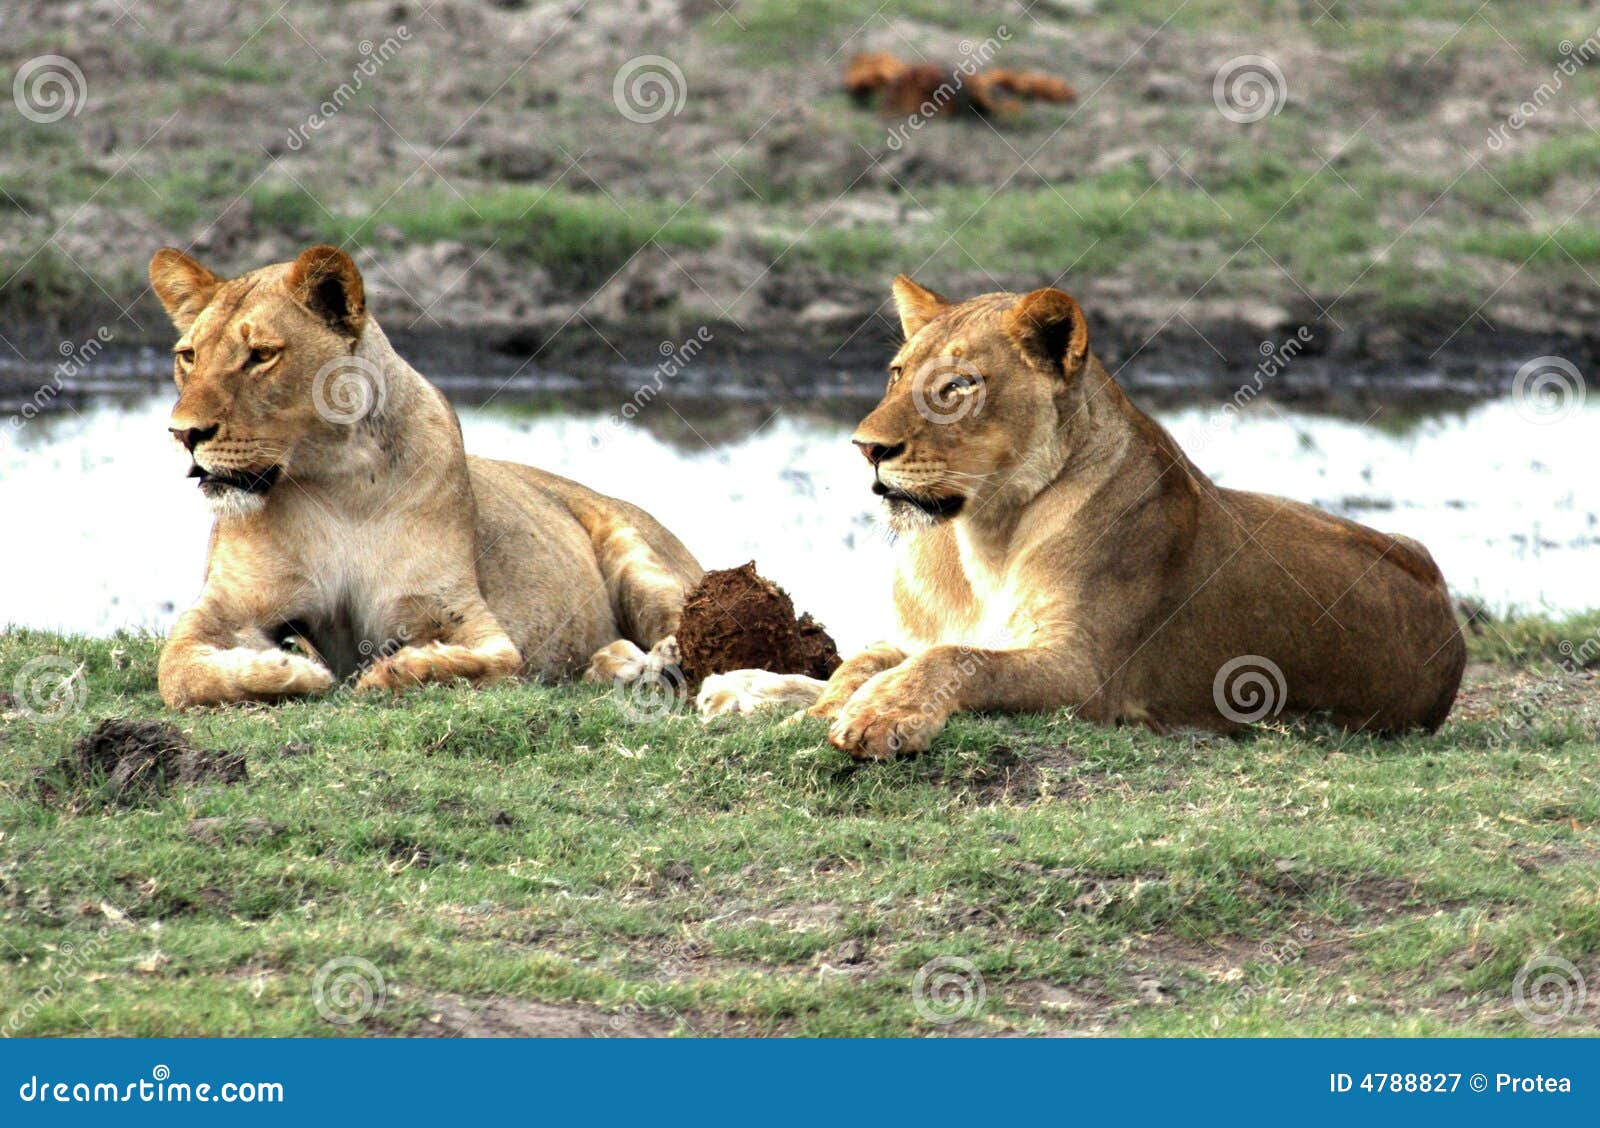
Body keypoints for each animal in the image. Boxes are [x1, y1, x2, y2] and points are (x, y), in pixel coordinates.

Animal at [149, 244, 701, 709]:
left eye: (262, 355)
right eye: (188, 356)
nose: (183, 433)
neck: (338, 484)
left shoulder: (467, 616)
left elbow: (490, 663)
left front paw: (387, 672)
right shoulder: (228, 604)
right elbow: (177, 672)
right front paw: (289, 670)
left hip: (641, 560)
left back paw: (635, 663)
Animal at [801, 276, 1465, 759]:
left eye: (958, 386)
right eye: (897, 374)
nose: (866, 447)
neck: (985, 533)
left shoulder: (1084, 671)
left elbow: (961, 661)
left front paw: (881, 716)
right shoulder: (915, 634)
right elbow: (869, 659)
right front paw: (833, 700)